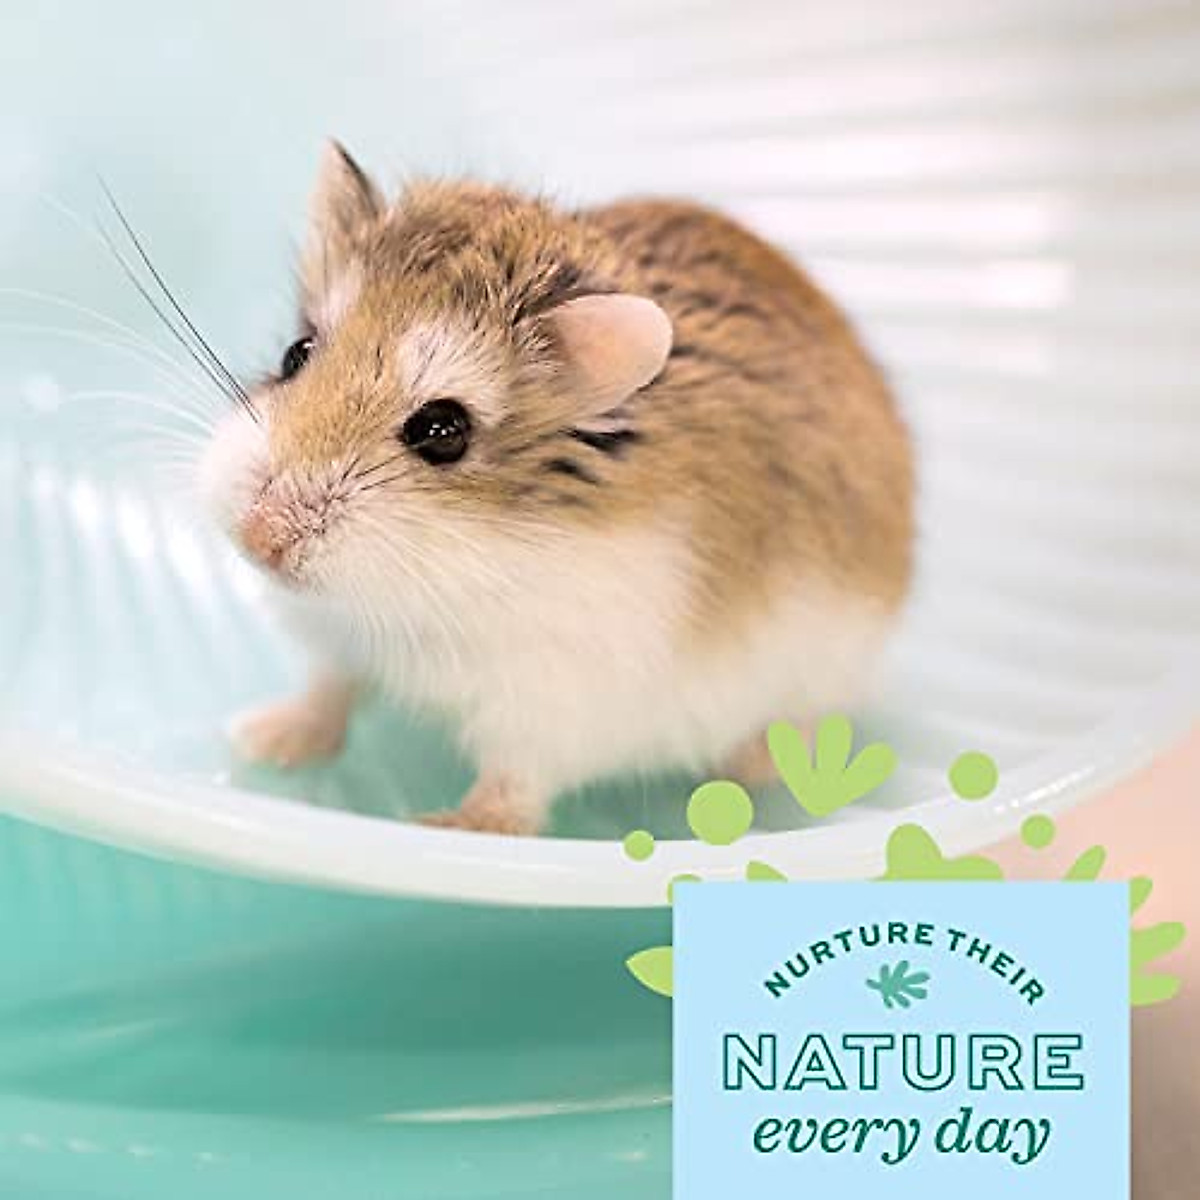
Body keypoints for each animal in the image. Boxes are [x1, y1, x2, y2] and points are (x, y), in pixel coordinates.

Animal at [199, 142, 914, 835]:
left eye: (442, 431)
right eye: (295, 353)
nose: (258, 539)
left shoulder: (551, 708)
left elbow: (512, 790)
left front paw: (448, 827)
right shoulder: (340, 640)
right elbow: (329, 690)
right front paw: (258, 738)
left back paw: (756, 767)